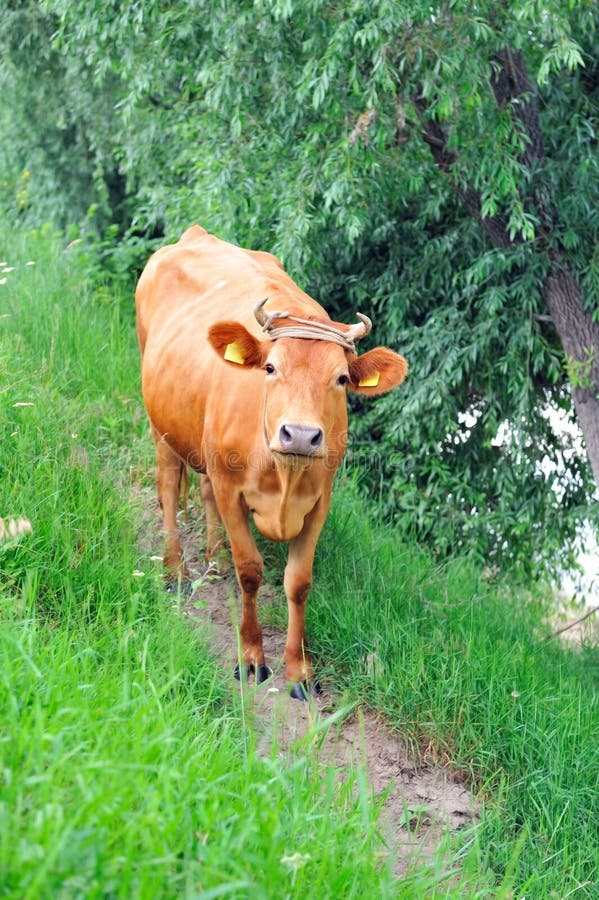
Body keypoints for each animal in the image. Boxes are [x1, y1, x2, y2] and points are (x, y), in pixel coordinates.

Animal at [135, 226, 407, 699]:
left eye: (341, 378)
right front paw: (250, 659)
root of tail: (197, 234)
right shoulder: (232, 488)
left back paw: (215, 558)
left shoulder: (319, 501)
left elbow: (298, 582)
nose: (299, 434)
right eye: (269, 367)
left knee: (201, 489)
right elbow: (251, 572)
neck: (283, 476)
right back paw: (176, 570)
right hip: (160, 424)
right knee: (168, 487)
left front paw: (299, 671)